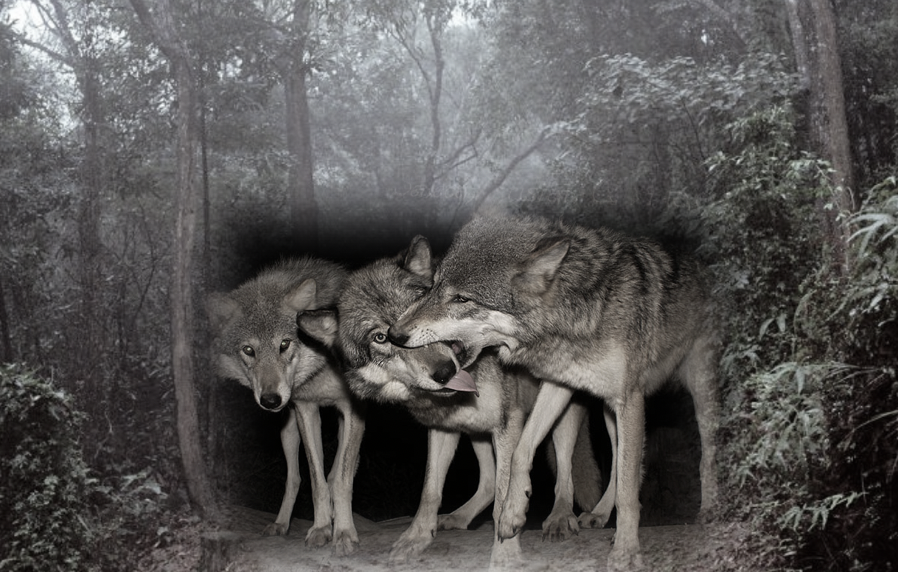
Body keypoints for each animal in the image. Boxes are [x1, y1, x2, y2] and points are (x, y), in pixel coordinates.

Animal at [206, 258, 365, 556]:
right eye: (248, 350)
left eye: (284, 344)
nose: (270, 400)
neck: (322, 370)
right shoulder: (306, 410)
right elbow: (316, 480)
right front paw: (321, 528)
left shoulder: (353, 413)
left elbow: (341, 479)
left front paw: (344, 532)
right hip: (288, 432)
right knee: (294, 478)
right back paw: (281, 524)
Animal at [298, 237, 602, 567]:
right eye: (381, 337)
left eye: (416, 312)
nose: (445, 371)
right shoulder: (443, 429)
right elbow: (430, 491)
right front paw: (415, 539)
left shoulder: (508, 425)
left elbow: (505, 496)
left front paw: (506, 552)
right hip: (475, 430)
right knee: (488, 481)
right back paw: (458, 517)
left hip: (559, 418)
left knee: (566, 474)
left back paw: (562, 518)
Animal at [388, 217, 721, 570]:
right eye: (434, 287)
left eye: (462, 299)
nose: (395, 334)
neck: (579, 312)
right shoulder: (562, 384)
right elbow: (522, 450)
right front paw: (513, 511)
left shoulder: (630, 397)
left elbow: (629, 492)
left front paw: (626, 552)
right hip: (608, 411)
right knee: (618, 463)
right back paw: (599, 514)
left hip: (697, 394)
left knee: (704, 455)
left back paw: (710, 510)